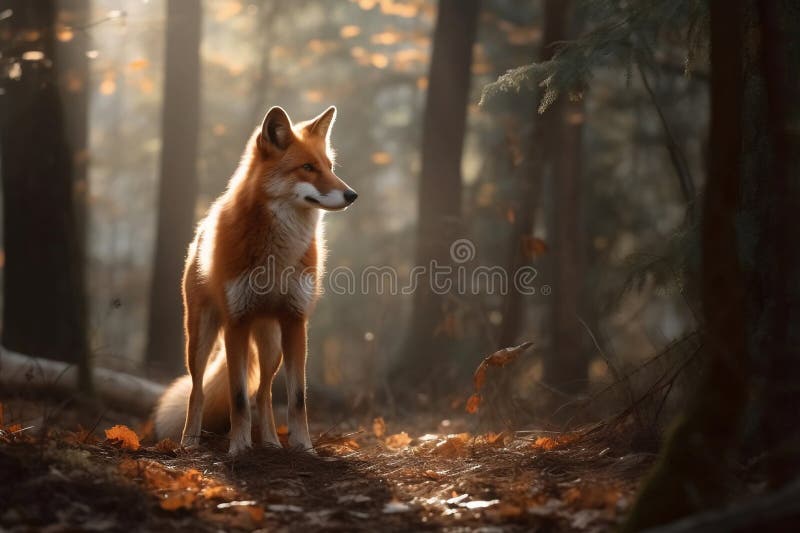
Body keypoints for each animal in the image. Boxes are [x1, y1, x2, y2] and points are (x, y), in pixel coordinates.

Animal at [153, 106, 357, 454]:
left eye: (330, 167)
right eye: (307, 168)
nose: (352, 195)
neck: (277, 257)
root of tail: (200, 231)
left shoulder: (295, 321)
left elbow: (297, 399)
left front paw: (304, 448)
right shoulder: (237, 321)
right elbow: (236, 398)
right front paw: (238, 448)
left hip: (271, 346)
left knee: (263, 393)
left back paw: (272, 443)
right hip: (201, 338)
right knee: (198, 390)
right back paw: (190, 443)